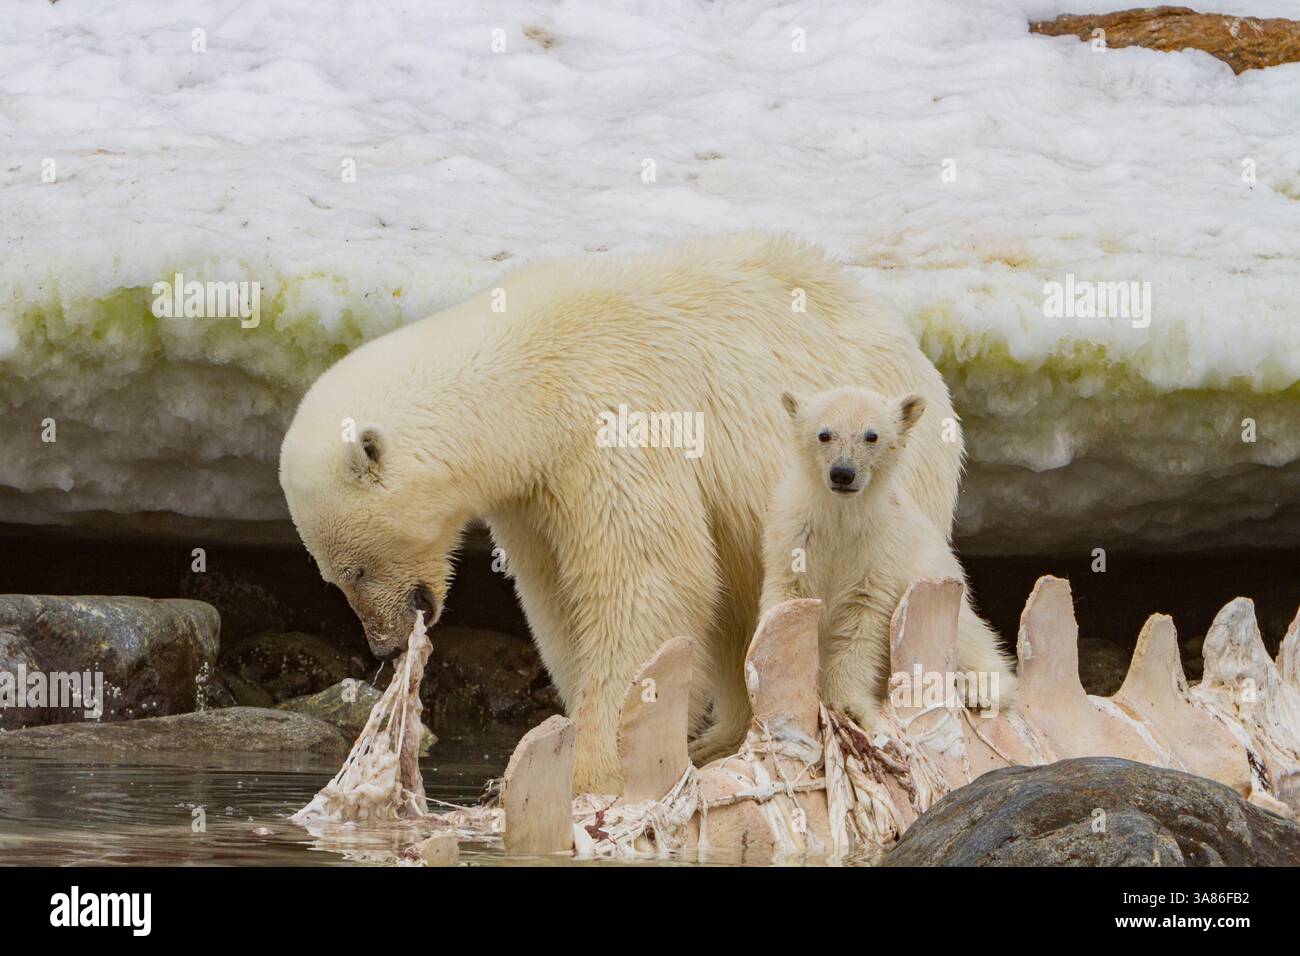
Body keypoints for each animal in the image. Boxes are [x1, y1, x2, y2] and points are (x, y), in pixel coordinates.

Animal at [278, 233, 965, 794]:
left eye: (357, 569)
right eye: (332, 577)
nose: (385, 644)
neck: (528, 377)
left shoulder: (614, 415)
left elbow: (648, 576)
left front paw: (591, 765)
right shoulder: (535, 490)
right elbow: (557, 595)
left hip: (881, 479)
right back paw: (721, 738)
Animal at [759, 385, 1017, 730]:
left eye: (872, 436)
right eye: (824, 434)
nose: (842, 473)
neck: (840, 519)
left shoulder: (879, 548)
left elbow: (863, 620)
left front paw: (850, 707)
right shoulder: (794, 537)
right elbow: (786, 602)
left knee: (967, 633)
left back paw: (981, 689)